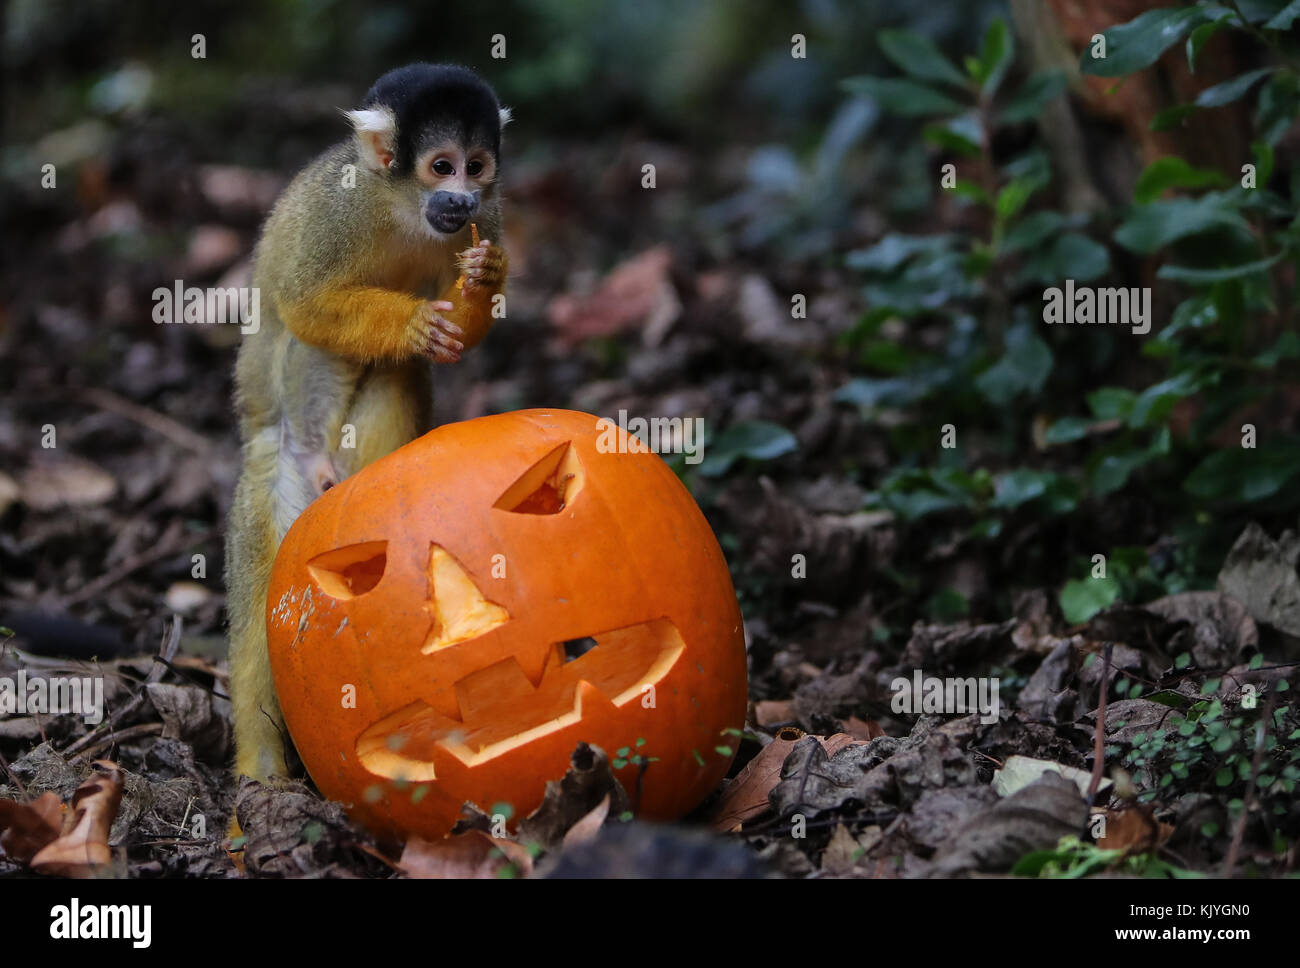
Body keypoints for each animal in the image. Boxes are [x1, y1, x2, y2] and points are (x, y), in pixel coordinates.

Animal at [224, 64, 511, 810]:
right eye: (441, 165)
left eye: (477, 166)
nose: (461, 195)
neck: (404, 205)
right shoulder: (342, 209)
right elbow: (302, 302)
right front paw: (412, 324)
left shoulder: (489, 217)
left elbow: (457, 331)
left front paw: (483, 283)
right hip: (271, 480)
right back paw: (257, 778)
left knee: (398, 371)